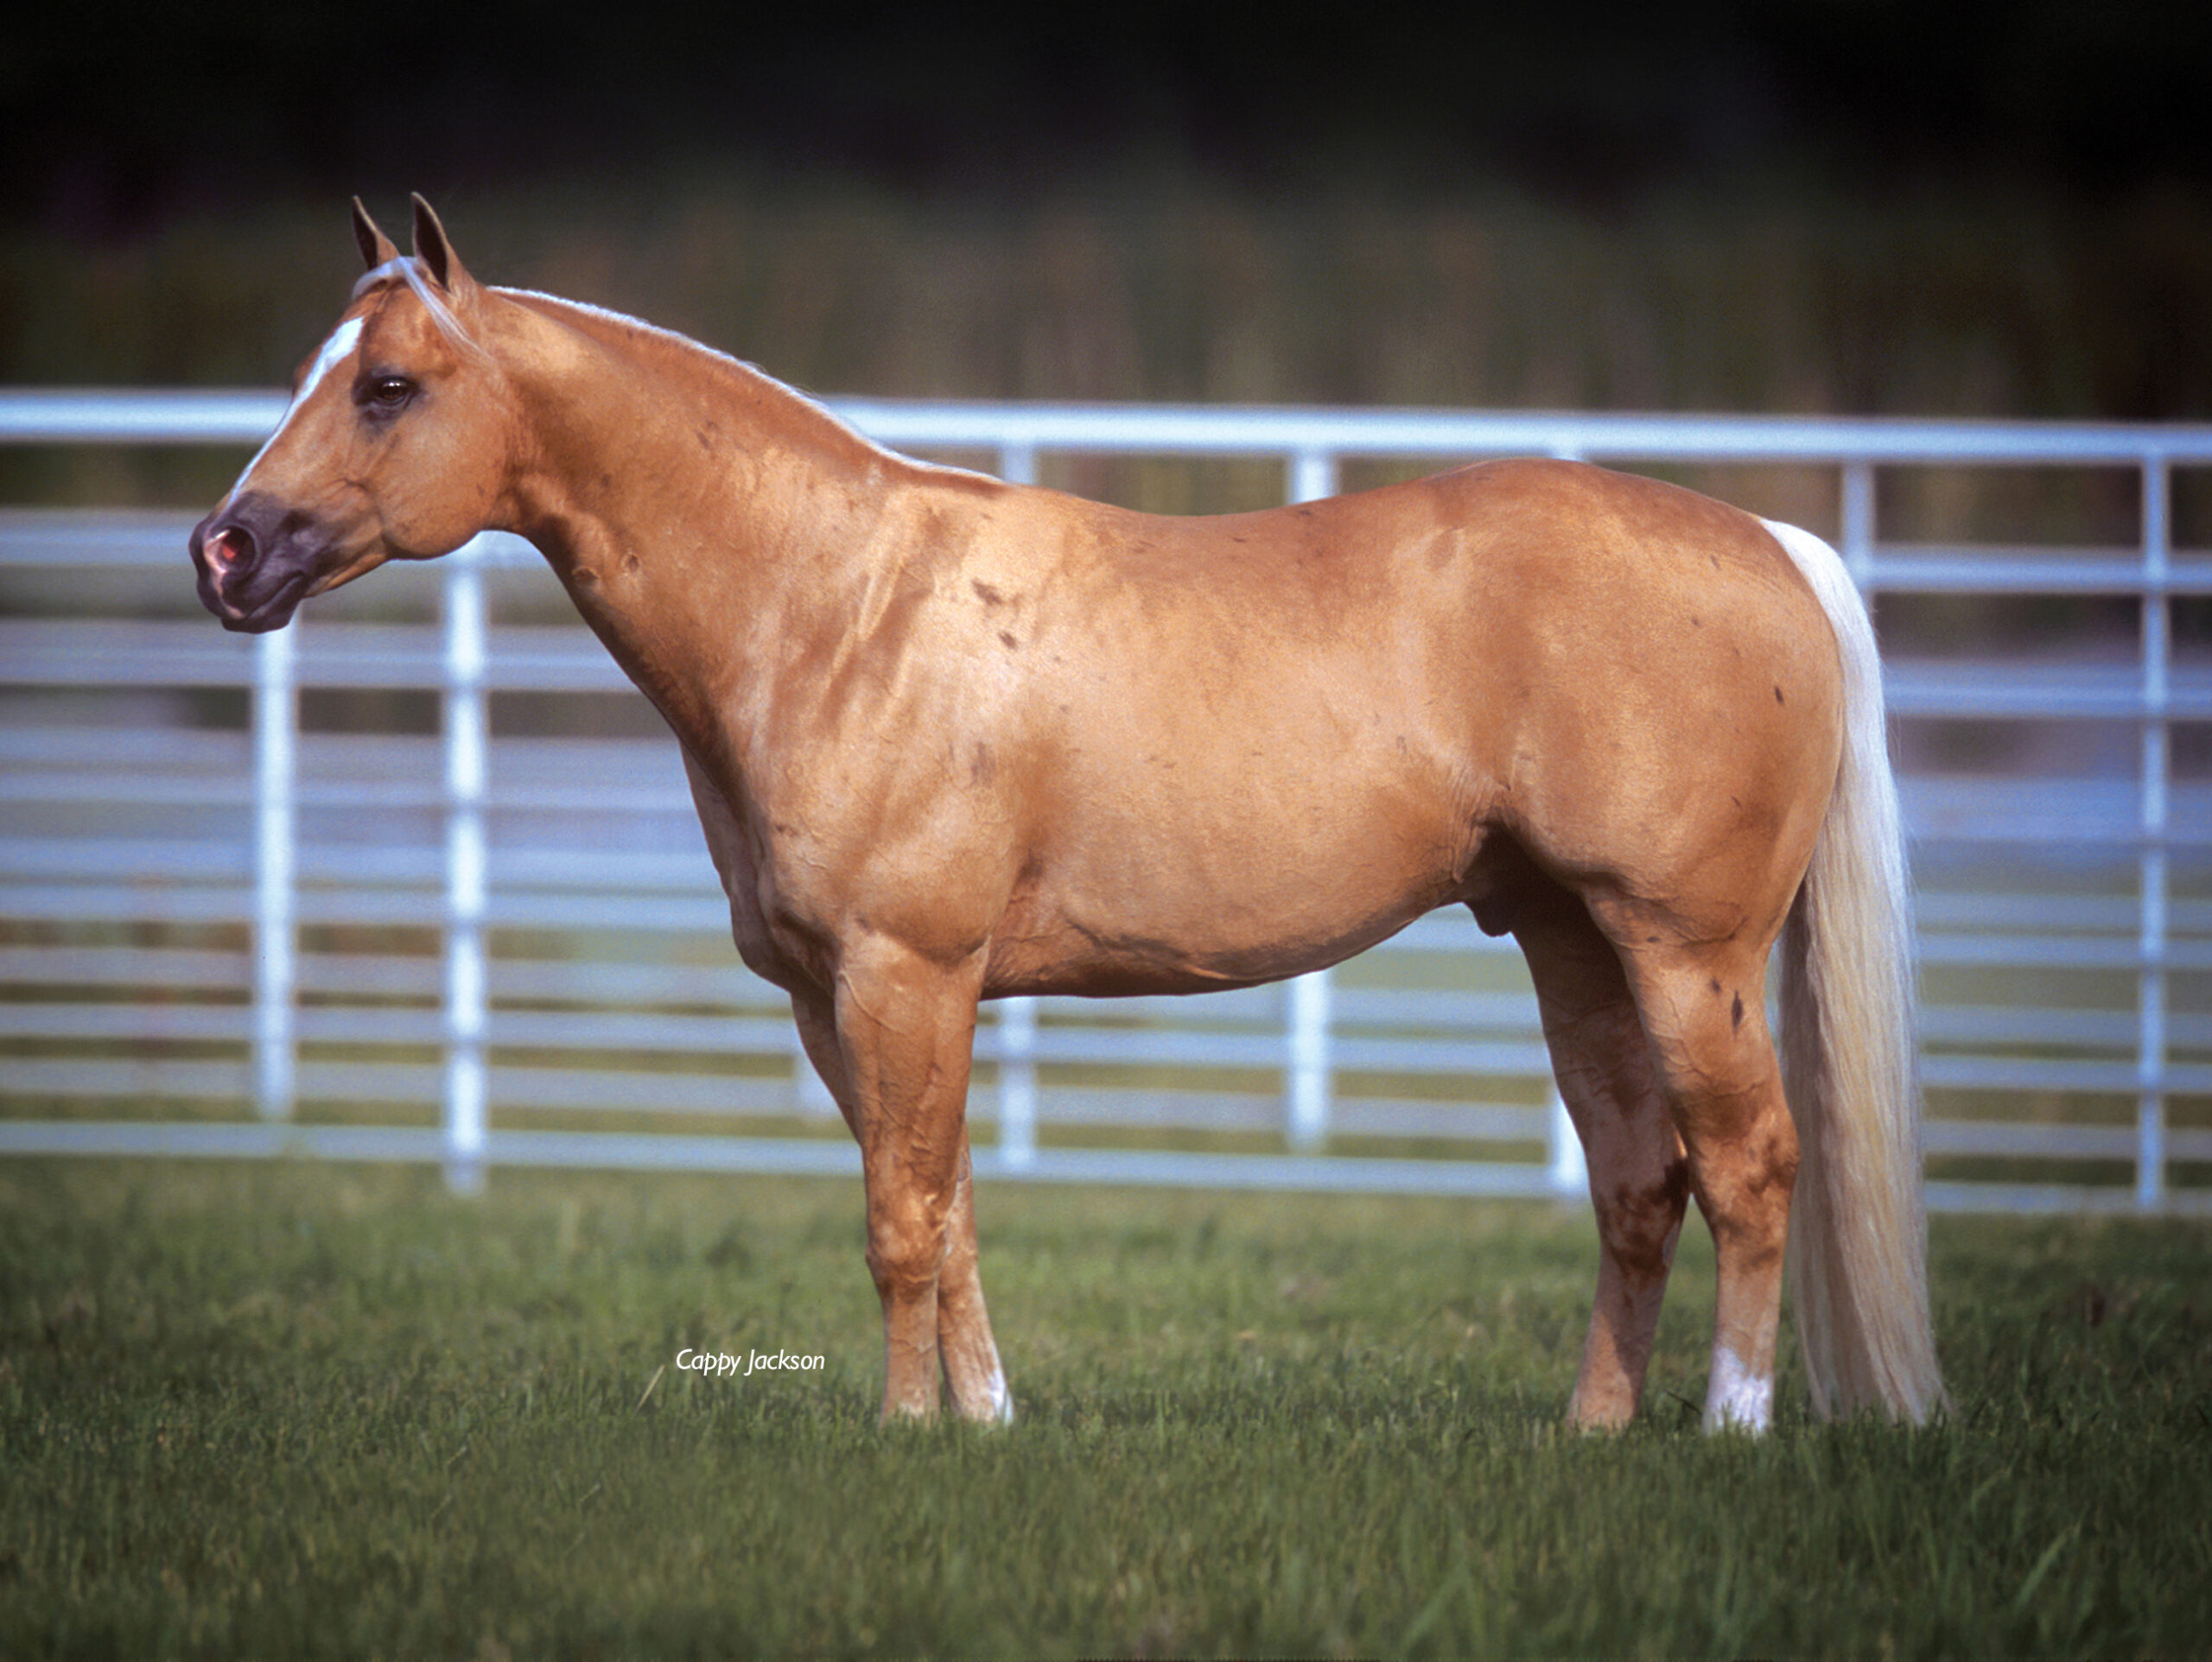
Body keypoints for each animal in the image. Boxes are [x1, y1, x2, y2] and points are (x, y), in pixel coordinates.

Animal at [191, 196, 1944, 1431]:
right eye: (308, 377)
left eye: (391, 386)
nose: (226, 551)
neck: (838, 607)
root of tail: (1776, 546)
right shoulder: (854, 999)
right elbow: (948, 1209)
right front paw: (982, 1426)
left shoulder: (905, 973)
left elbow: (901, 1222)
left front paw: (903, 1435)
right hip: (1574, 946)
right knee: (1640, 1183)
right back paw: (1592, 1434)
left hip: (1683, 953)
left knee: (1753, 1168)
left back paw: (1730, 1428)